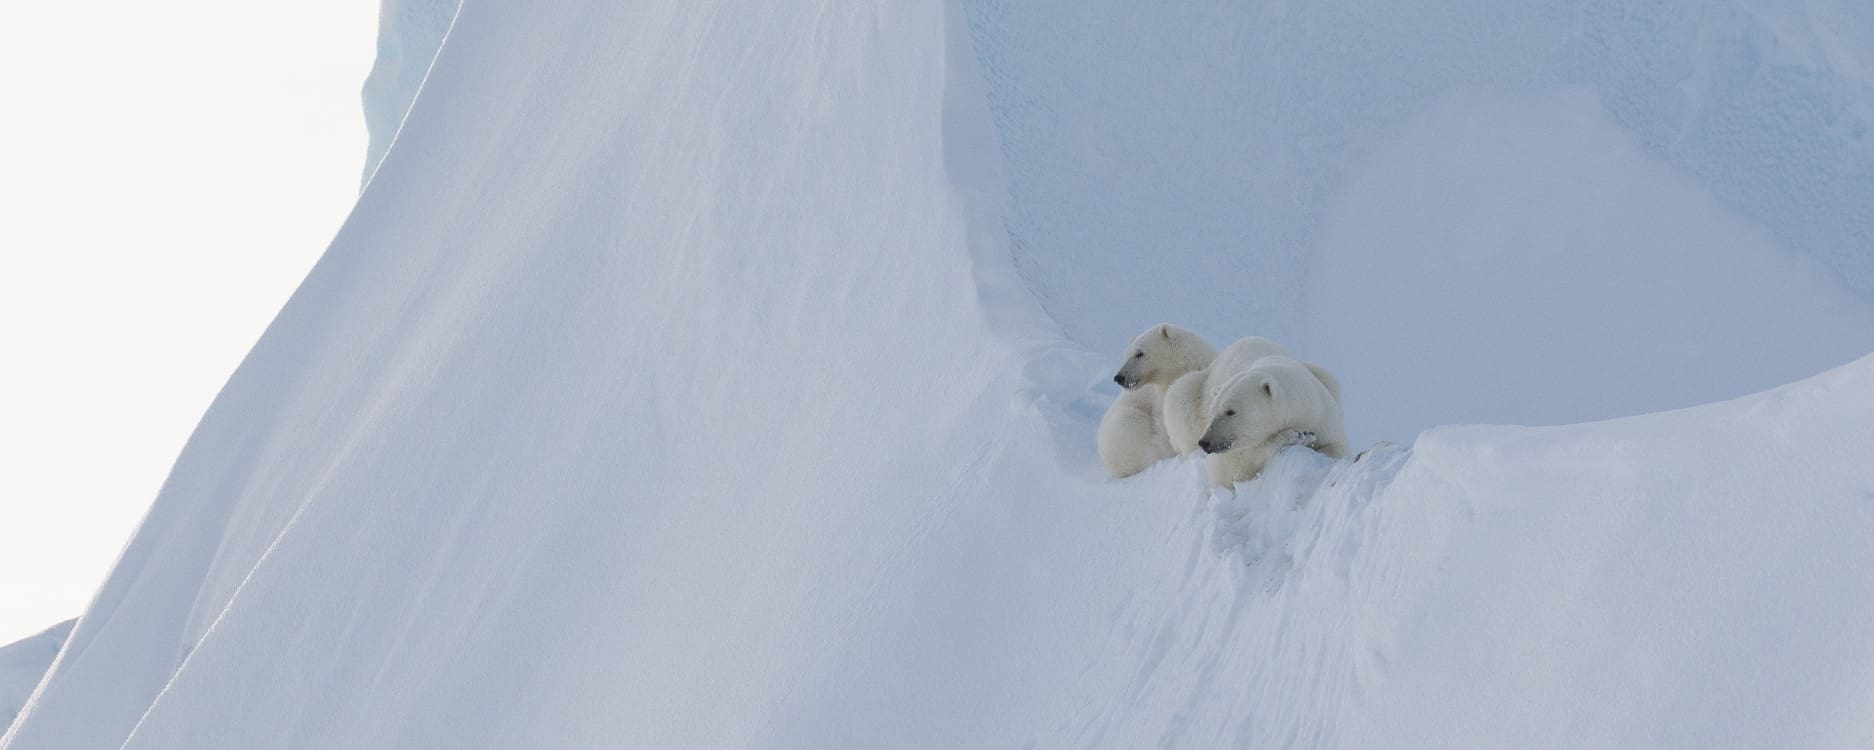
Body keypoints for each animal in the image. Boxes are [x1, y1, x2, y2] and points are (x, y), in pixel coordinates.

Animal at [1196, 354, 1350, 487]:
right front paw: (1298, 435)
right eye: (1213, 410)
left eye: (1230, 411)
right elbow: (1237, 470)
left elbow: (1337, 446)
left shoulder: (1321, 416)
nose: (1204, 442)